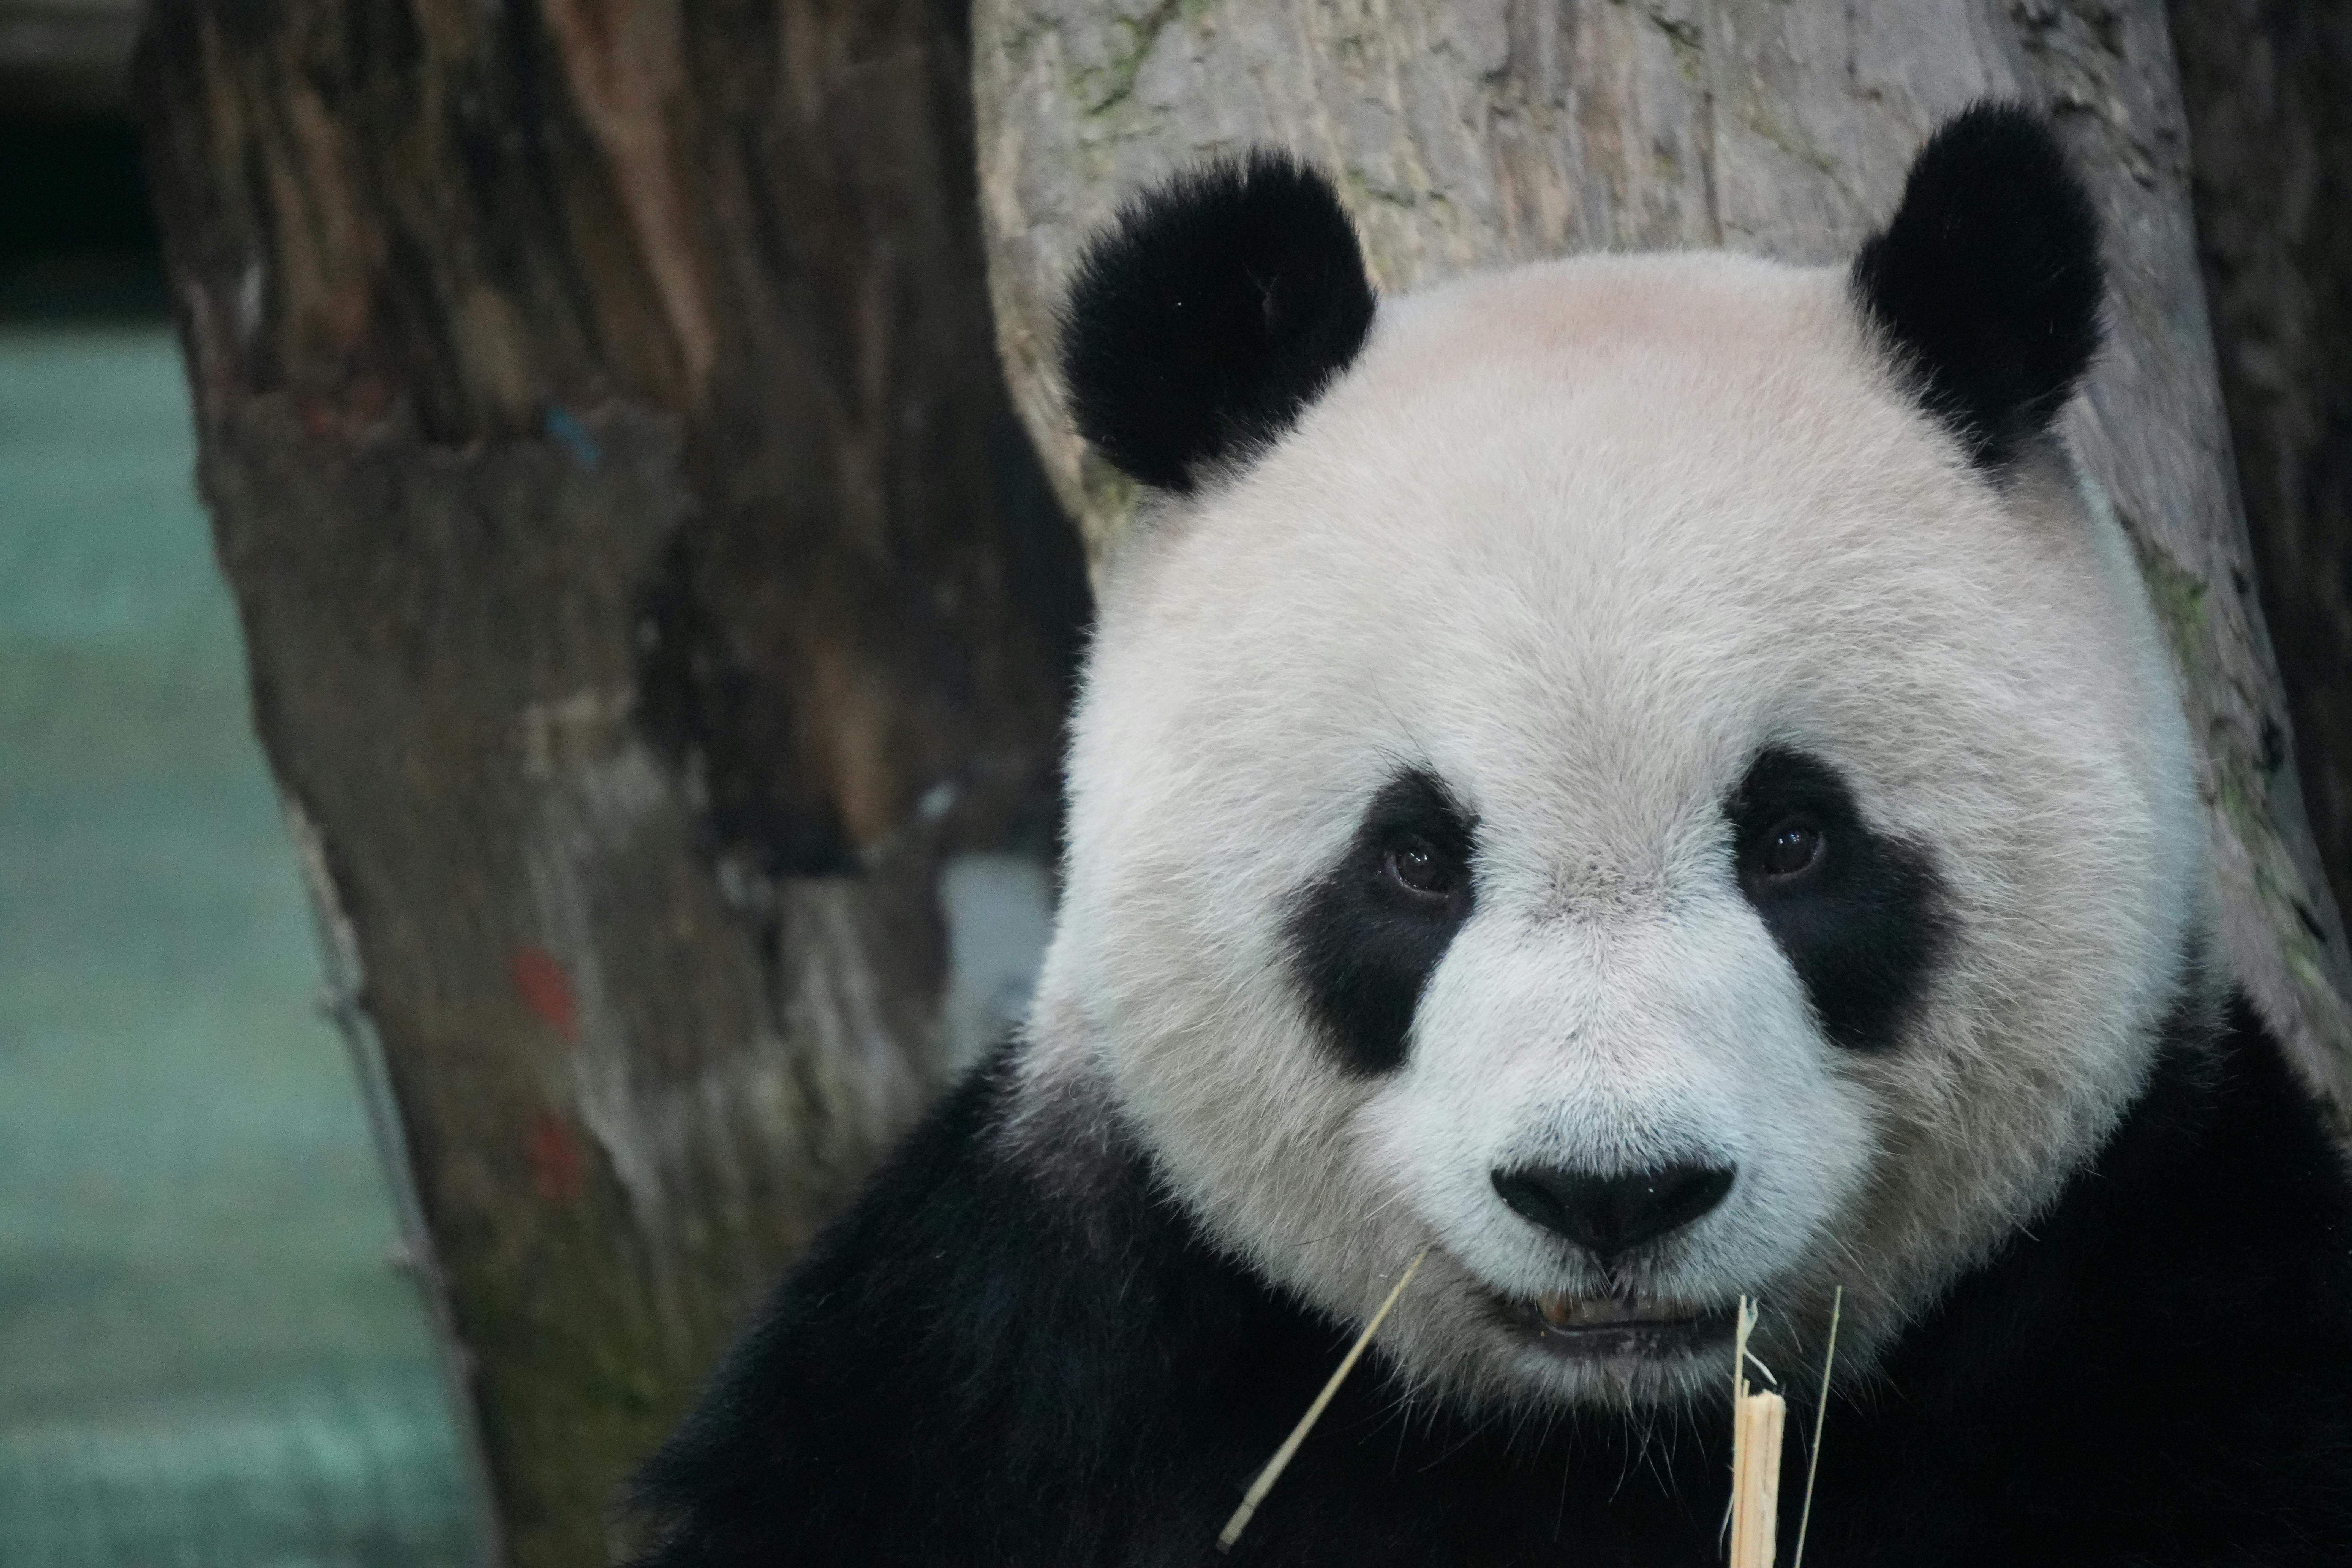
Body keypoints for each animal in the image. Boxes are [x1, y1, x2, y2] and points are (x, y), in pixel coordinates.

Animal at [629, 105, 2352, 1566]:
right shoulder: (1030, 1359)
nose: (1612, 1195)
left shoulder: (2157, 1309)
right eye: (1414, 859)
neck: (1605, 1438)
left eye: (1793, 841)